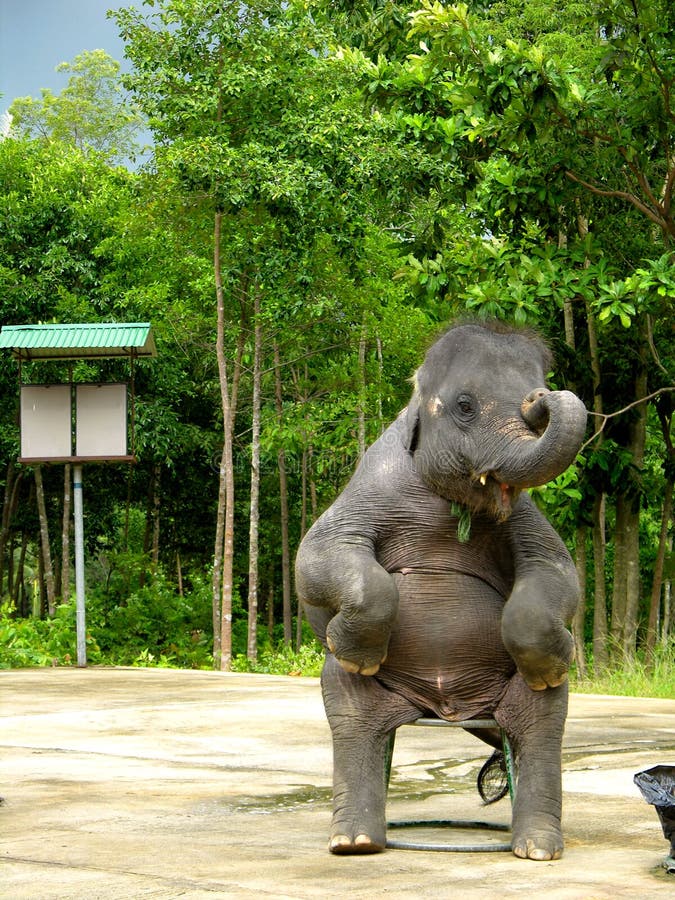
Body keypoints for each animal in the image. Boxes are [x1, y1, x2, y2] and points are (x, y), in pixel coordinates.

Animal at [295, 319, 588, 861]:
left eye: (534, 395)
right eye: (465, 406)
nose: (540, 400)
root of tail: (448, 711)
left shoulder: (524, 516)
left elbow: (556, 568)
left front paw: (558, 658)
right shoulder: (371, 485)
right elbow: (315, 555)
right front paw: (356, 652)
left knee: (540, 721)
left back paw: (537, 847)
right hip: (366, 698)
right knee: (352, 715)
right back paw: (354, 843)